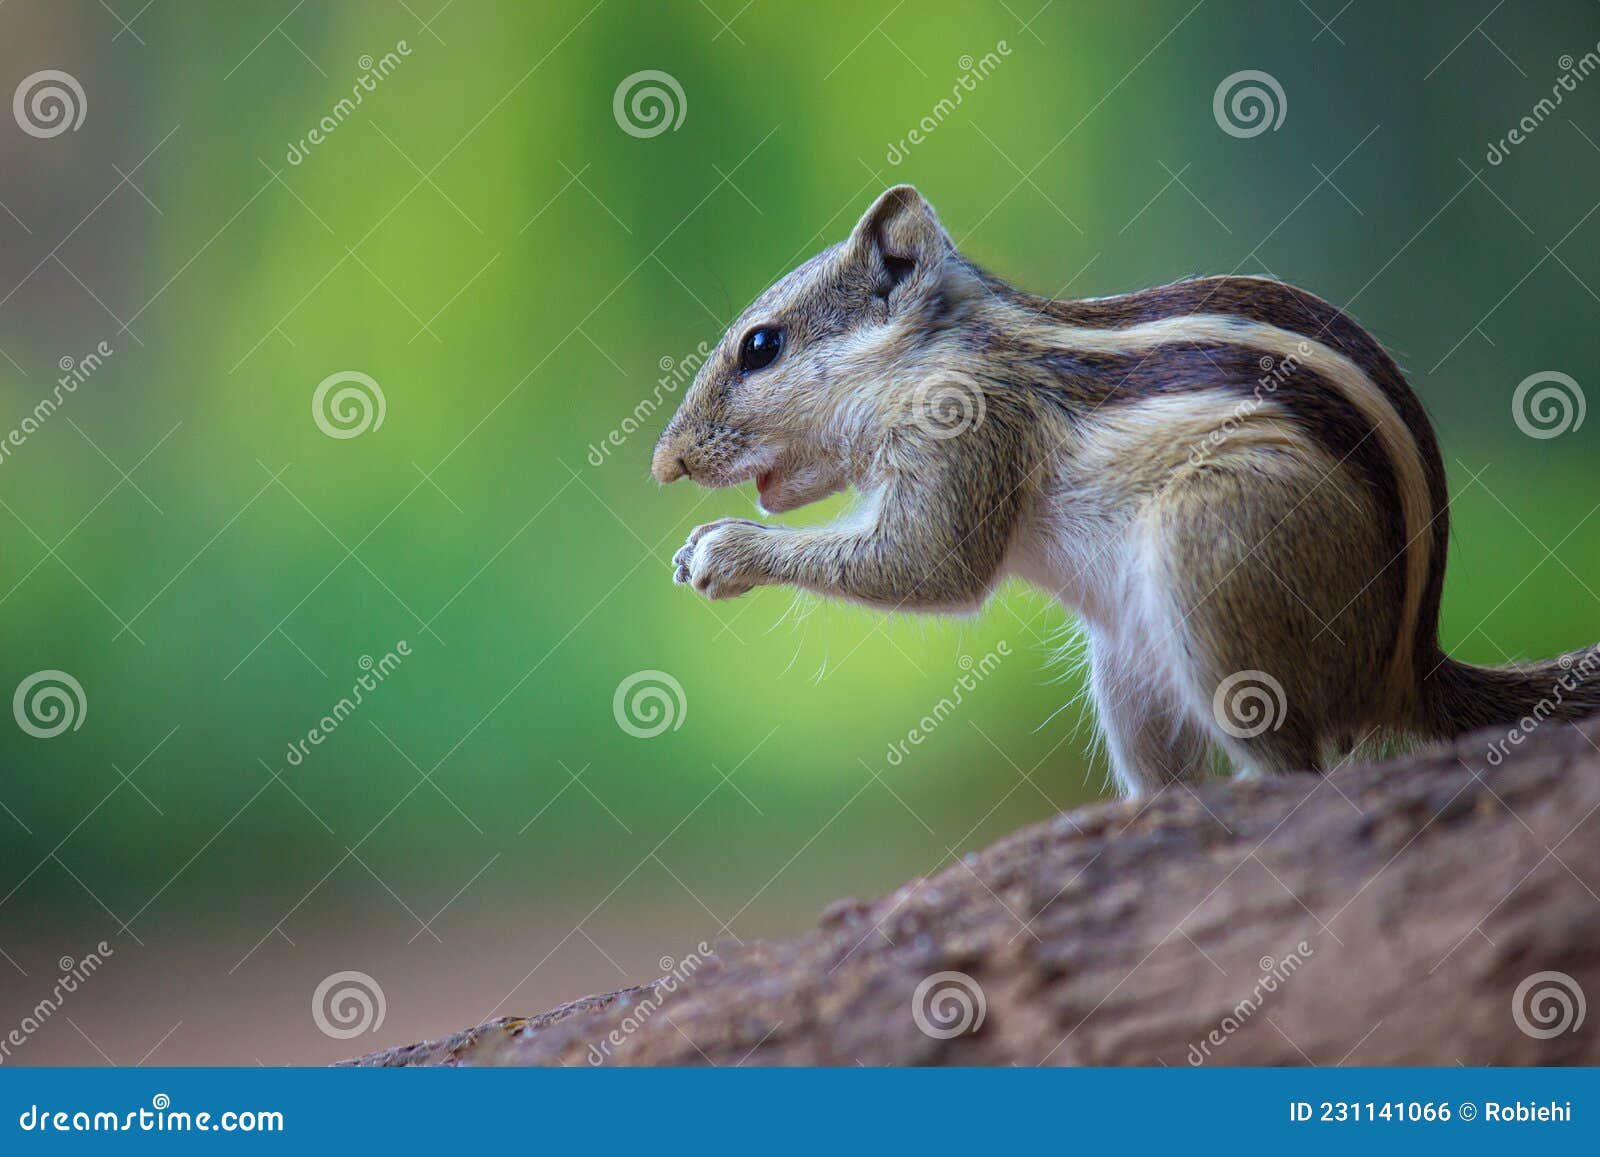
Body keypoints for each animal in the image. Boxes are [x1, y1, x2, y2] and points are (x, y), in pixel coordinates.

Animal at [651, 184, 1600, 796]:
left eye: (762, 347)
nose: (664, 464)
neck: (939, 352)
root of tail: (1403, 666)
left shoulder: (964, 428)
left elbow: (931, 563)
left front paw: (724, 548)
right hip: (1128, 676)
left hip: (1214, 547)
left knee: (1298, 765)